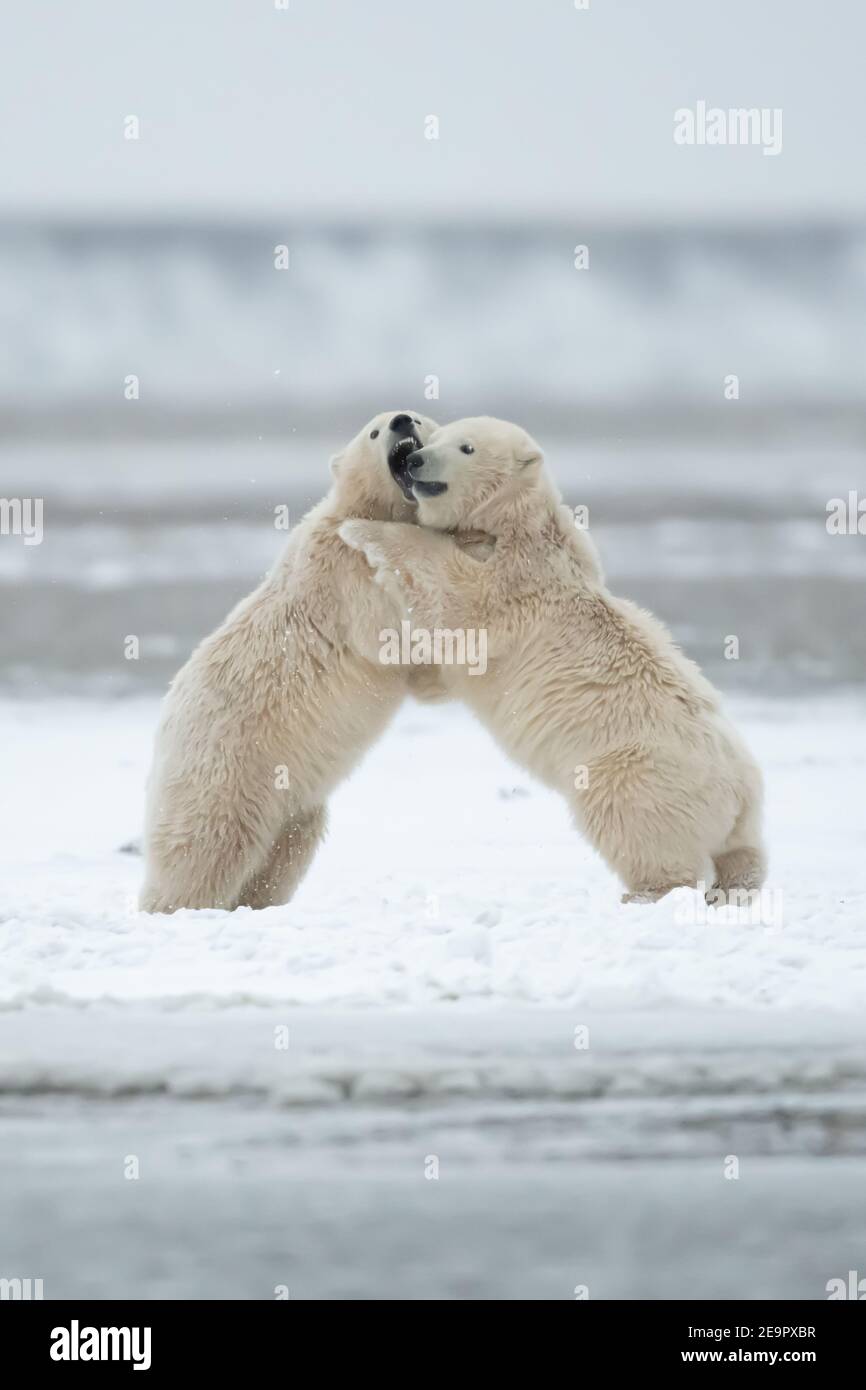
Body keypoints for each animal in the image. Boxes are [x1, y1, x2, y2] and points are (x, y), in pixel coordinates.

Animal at [140, 409, 440, 913]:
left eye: (417, 416)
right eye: (374, 431)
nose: (401, 420)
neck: (369, 513)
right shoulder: (344, 570)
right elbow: (386, 631)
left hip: (294, 804)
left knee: (284, 855)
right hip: (226, 767)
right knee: (205, 850)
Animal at [339, 416, 767, 905]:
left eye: (466, 448)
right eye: (434, 437)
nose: (414, 459)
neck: (513, 523)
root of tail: (741, 792)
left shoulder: (518, 579)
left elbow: (458, 595)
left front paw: (361, 530)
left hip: (632, 771)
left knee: (634, 827)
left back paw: (645, 892)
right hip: (734, 814)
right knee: (744, 855)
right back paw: (733, 887)